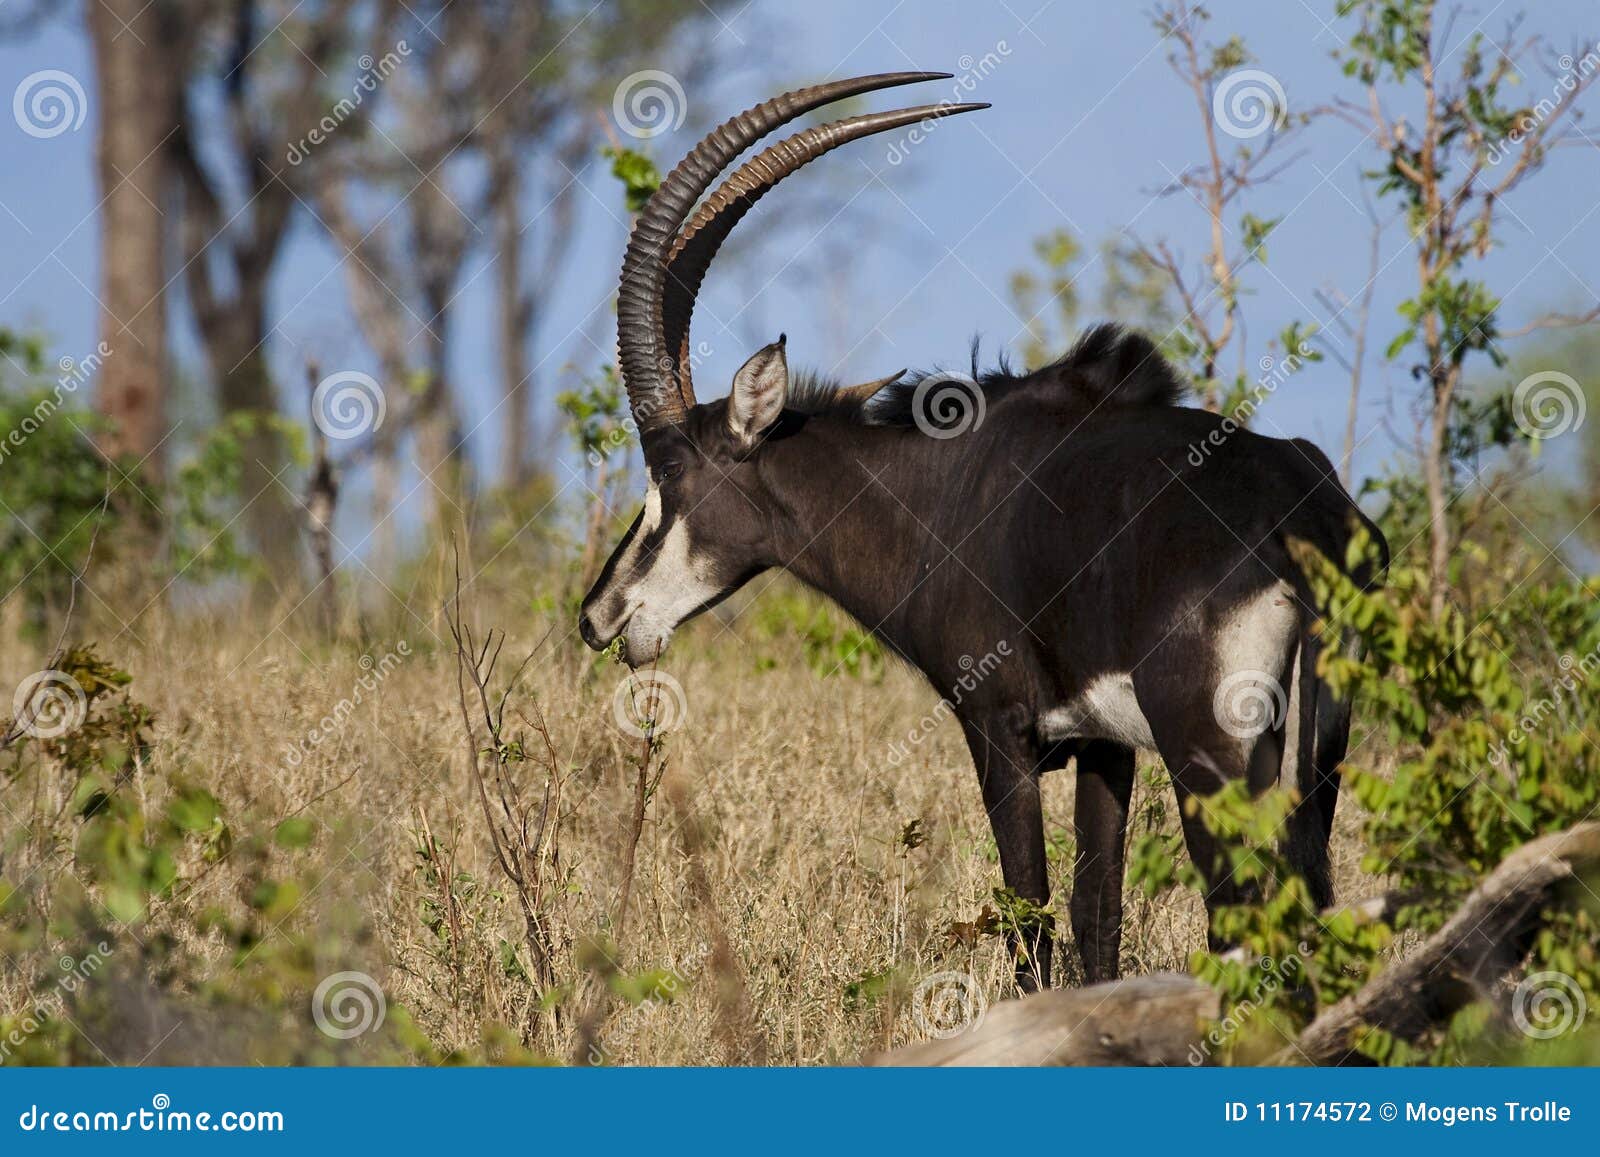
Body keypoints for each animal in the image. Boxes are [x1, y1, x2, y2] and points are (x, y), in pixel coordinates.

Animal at [578, 73, 1387, 991]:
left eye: (669, 476)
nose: (598, 616)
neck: (943, 492)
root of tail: (1306, 511)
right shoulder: (1105, 746)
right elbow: (1095, 919)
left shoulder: (1001, 732)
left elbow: (1028, 920)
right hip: (1312, 745)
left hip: (1210, 748)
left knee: (1247, 913)